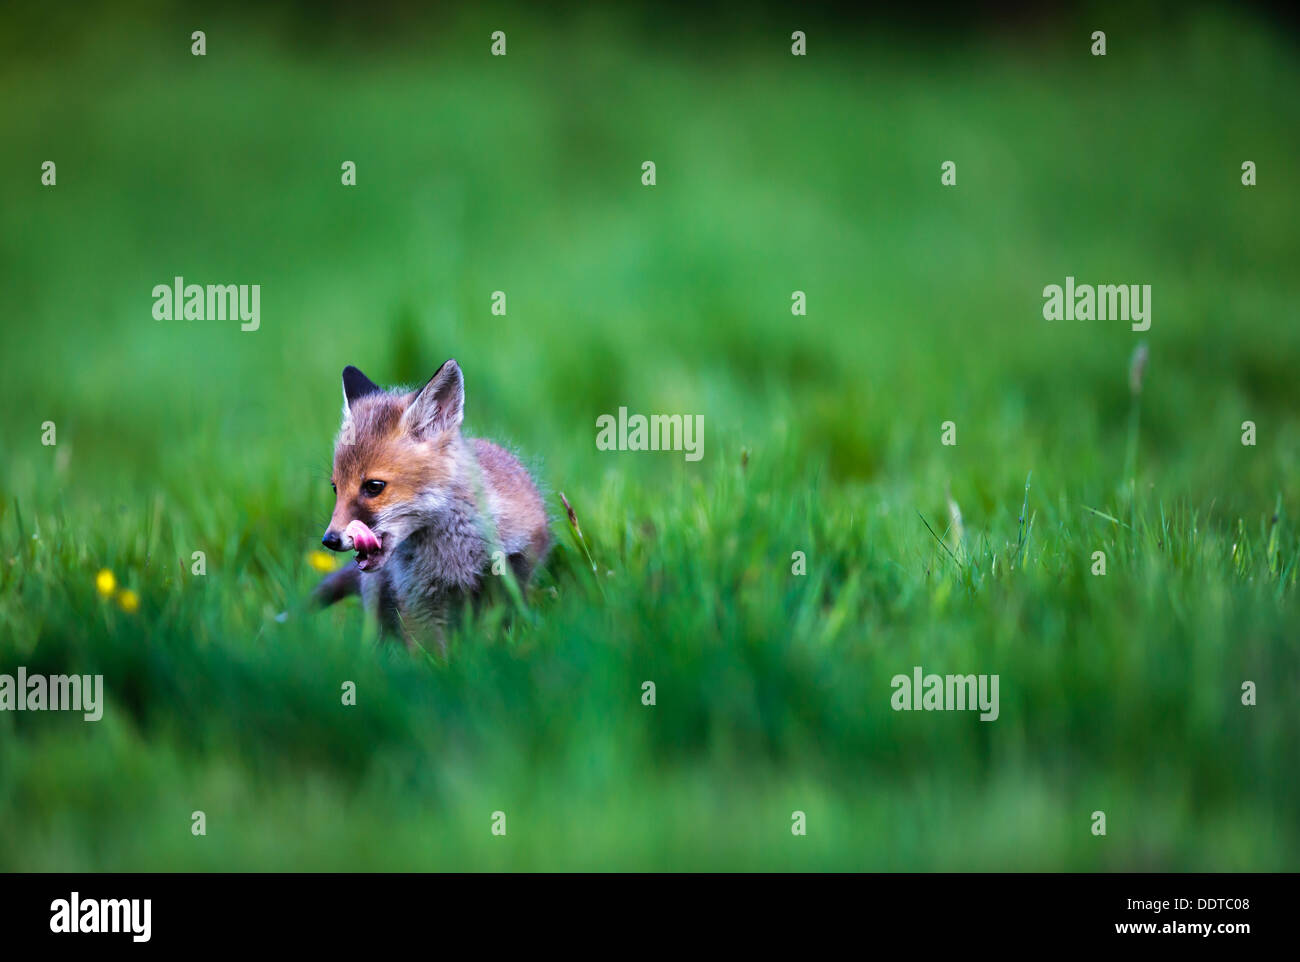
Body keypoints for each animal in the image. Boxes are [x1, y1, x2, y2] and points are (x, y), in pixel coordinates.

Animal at [313, 359, 551, 649]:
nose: (329, 540)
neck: (453, 552)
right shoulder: (416, 597)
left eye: (373, 486)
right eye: (335, 488)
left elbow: (488, 637)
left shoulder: (506, 576)